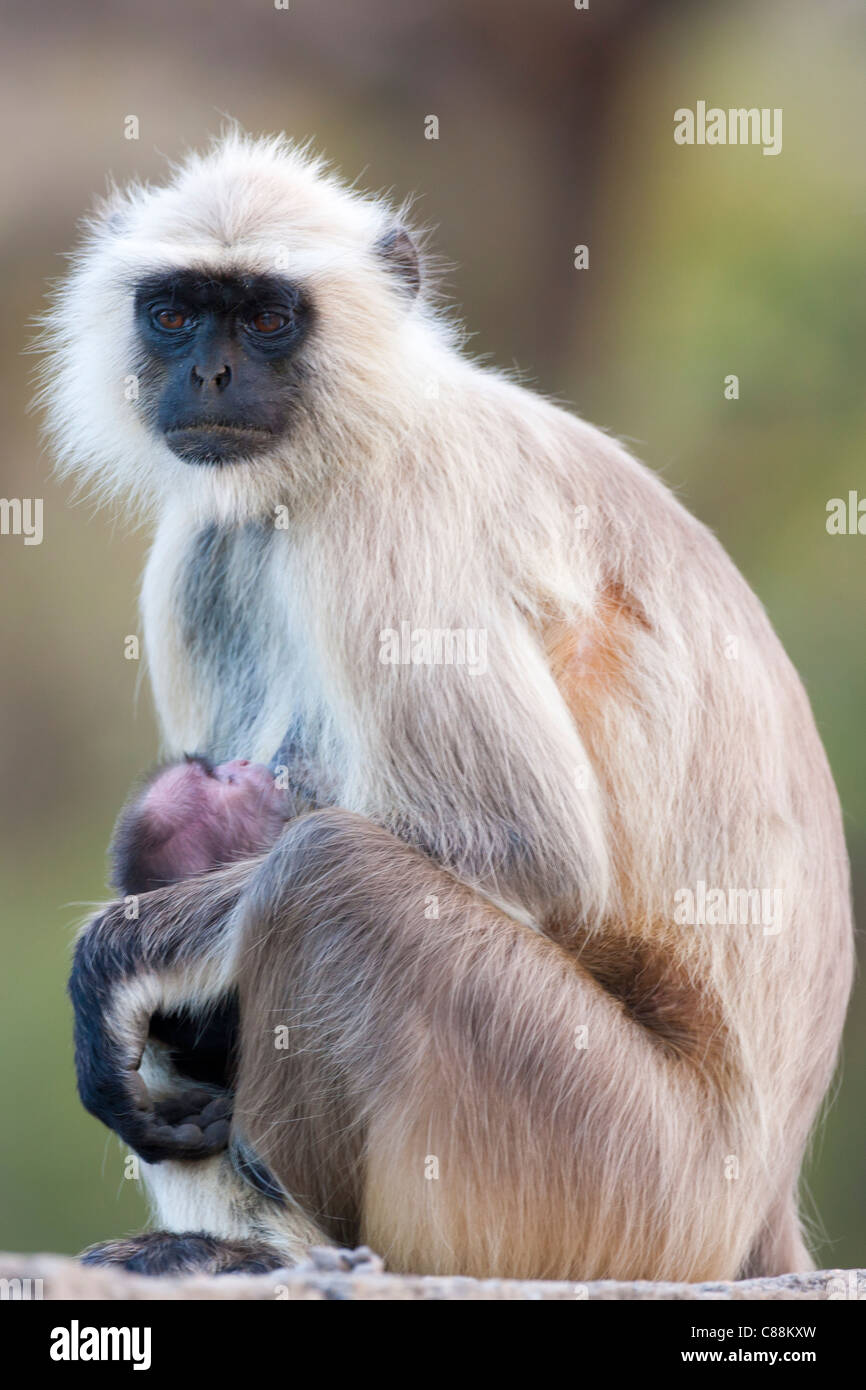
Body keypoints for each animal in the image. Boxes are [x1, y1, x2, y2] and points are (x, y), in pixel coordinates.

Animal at [41, 131, 853, 1281]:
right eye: (175, 311)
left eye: (267, 317)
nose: (210, 372)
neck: (355, 433)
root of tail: (756, 1207)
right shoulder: (203, 550)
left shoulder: (386, 511)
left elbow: (522, 848)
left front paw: (120, 955)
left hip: (613, 1172)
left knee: (330, 875)